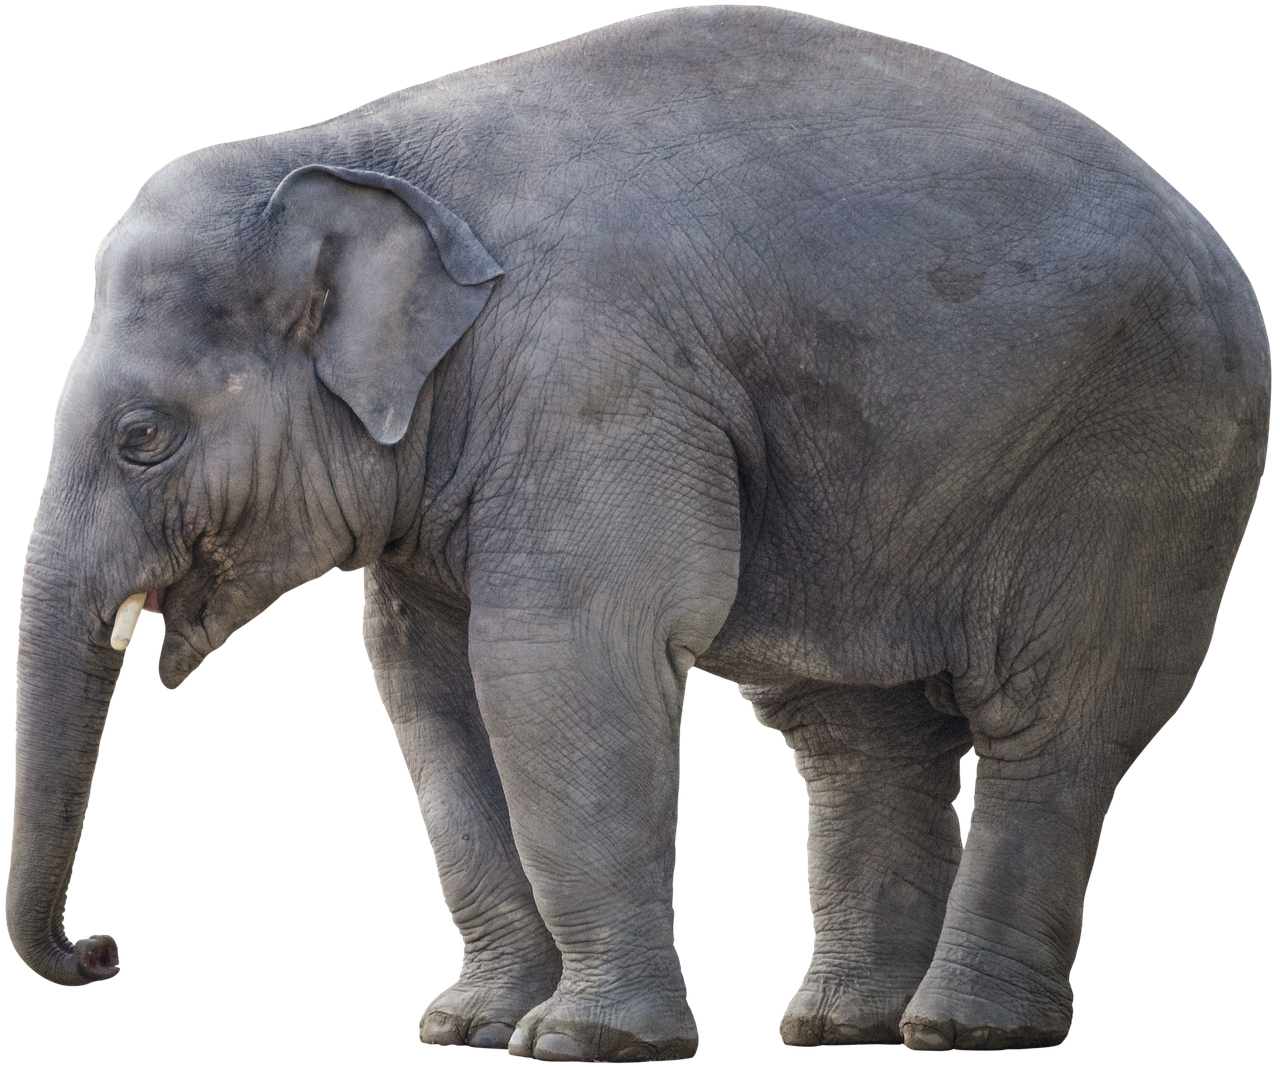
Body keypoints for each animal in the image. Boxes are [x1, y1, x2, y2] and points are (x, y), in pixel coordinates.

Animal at [6, 5, 1270, 1058]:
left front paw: (581, 1043)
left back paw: (965, 1028)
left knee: (1046, 725)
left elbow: (555, 660)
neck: (358, 148)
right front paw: (468, 1030)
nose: (103, 952)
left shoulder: (594, 374)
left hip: (1138, 453)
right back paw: (841, 1024)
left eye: (141, 436)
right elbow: (427, 685)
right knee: (853, 730)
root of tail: (1225, 252)